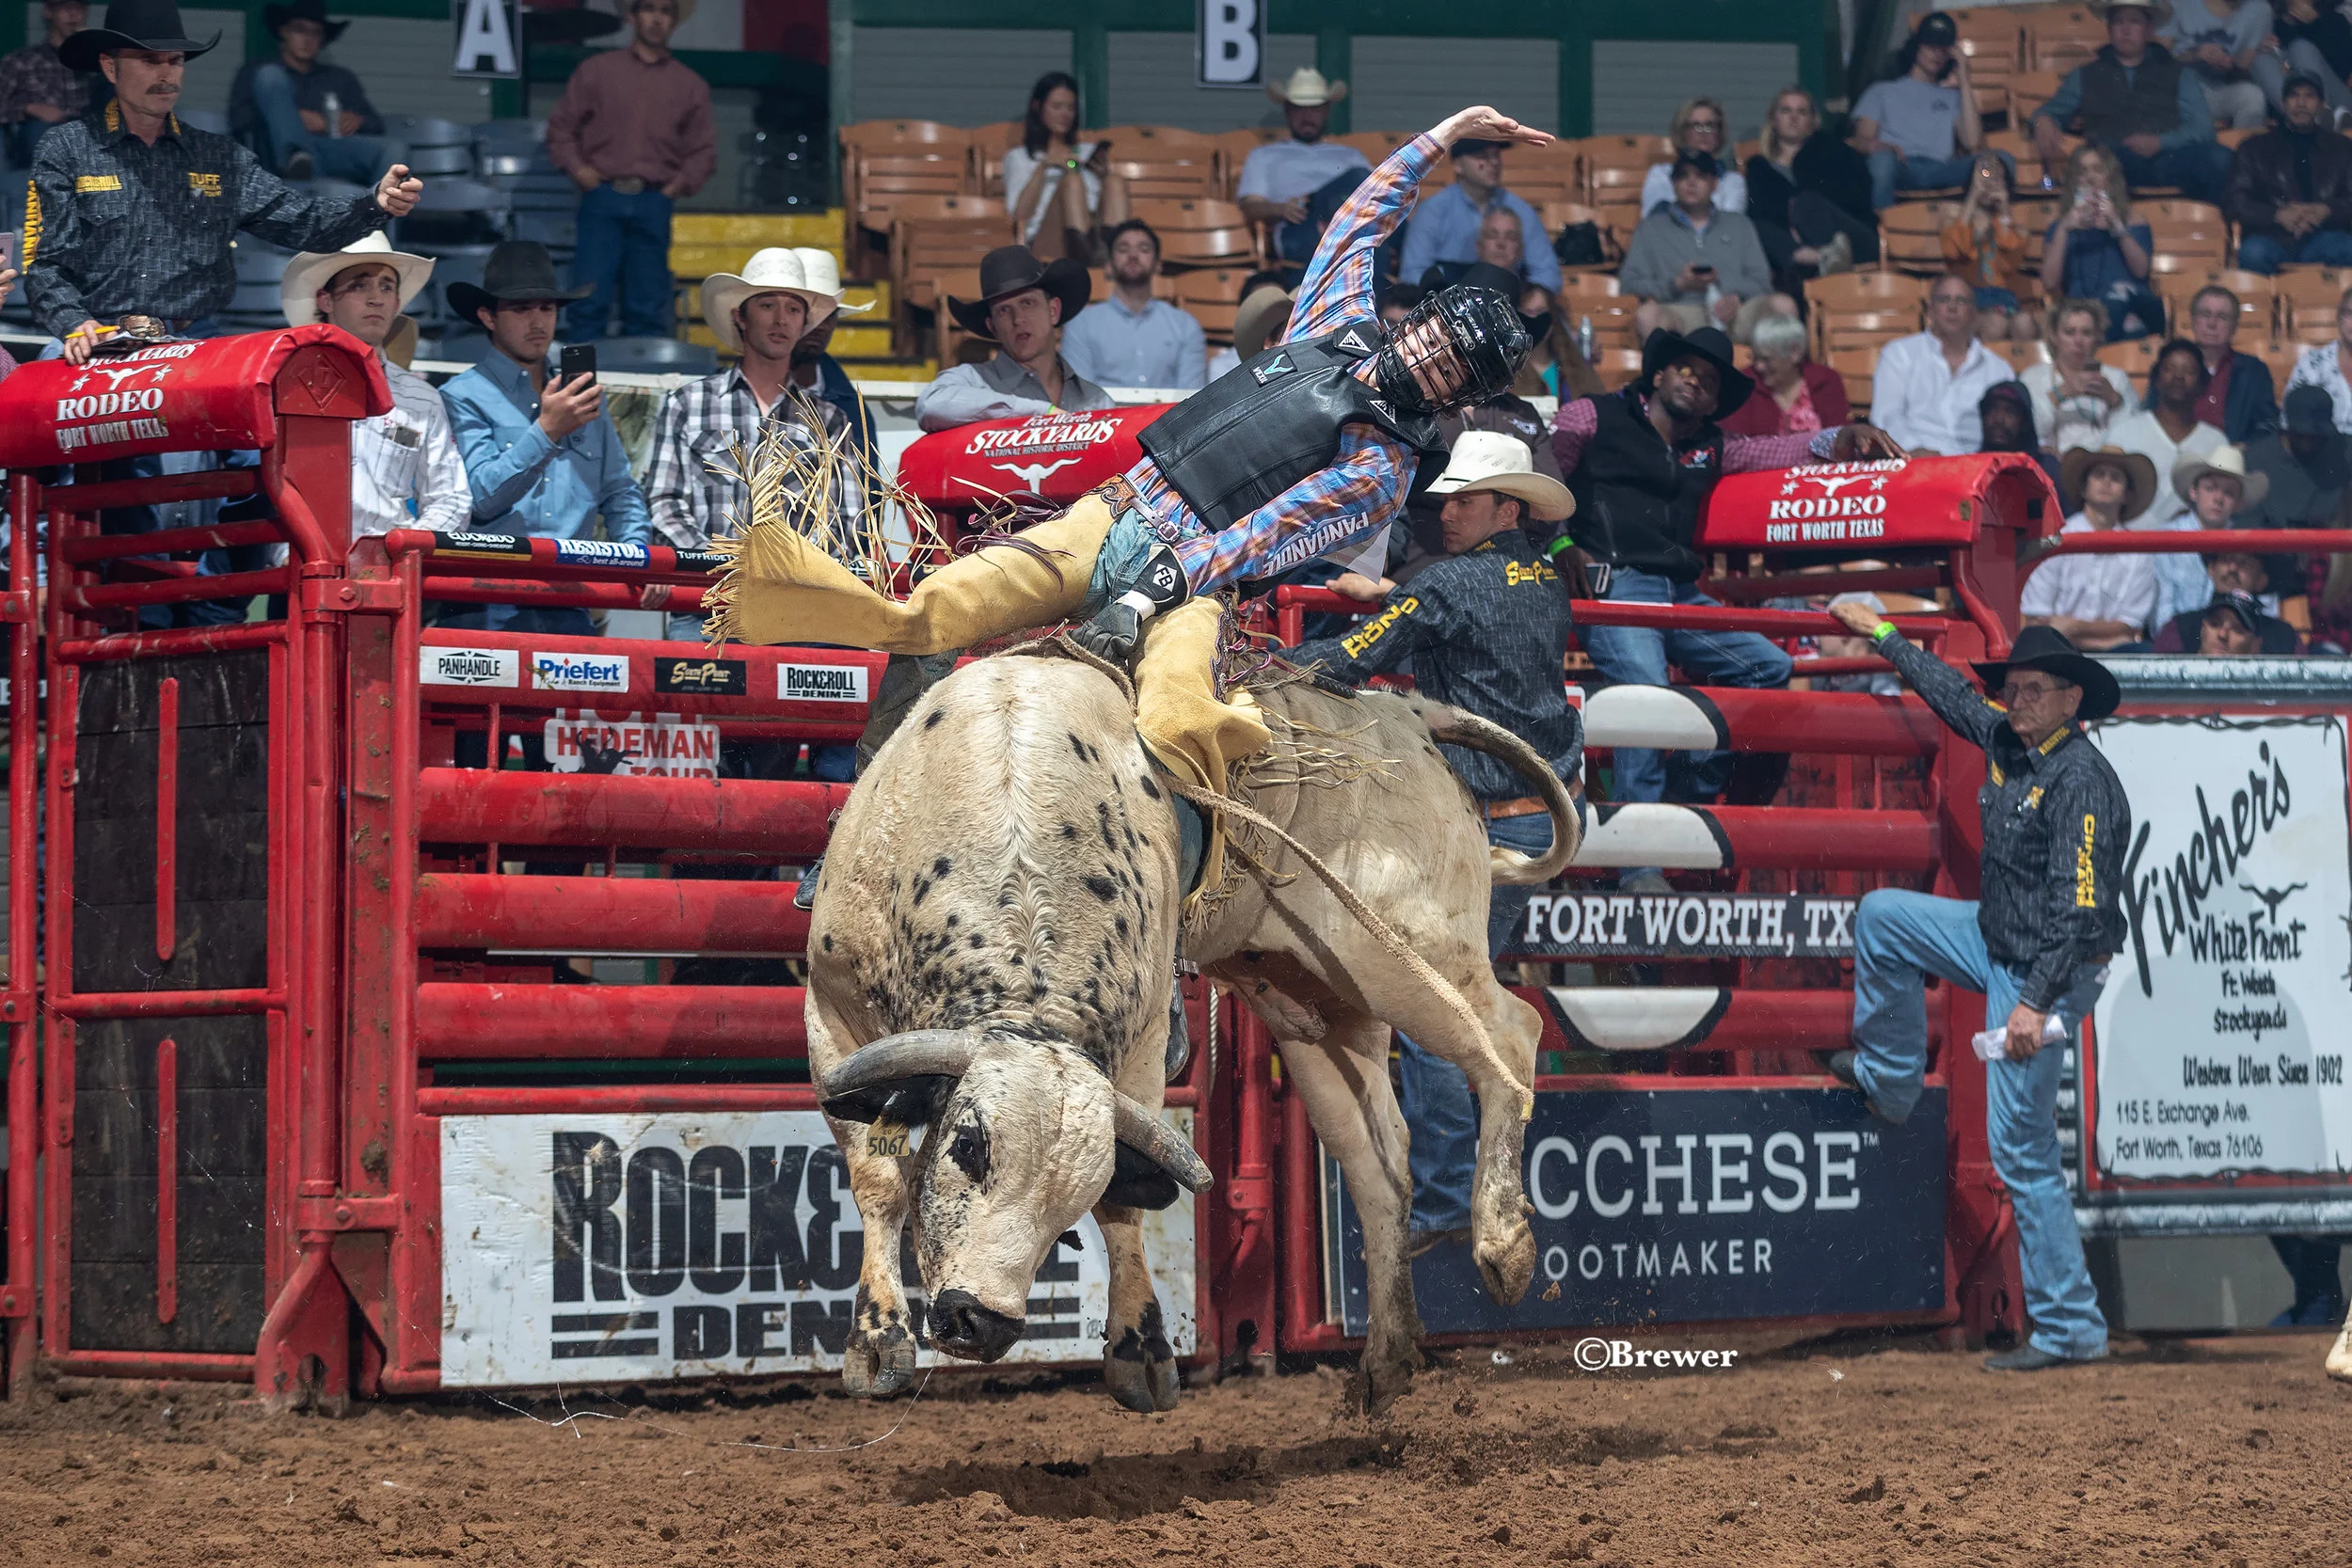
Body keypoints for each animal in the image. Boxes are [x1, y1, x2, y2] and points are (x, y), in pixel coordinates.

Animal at [802, 646, 1578, 1415]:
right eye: (967, 1144)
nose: (980, 1319)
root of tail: (1404, 710)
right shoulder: (831, 1011)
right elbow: (877, 1176)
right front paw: (877, 1341)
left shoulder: (1144, 1043)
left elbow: (1124, 1197)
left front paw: (1140, 1349)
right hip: (1323, 1006)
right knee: (1379, 1160)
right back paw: (1386, 1359)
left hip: (1406, 952)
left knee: (1512, 1035)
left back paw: (1503, 1243)